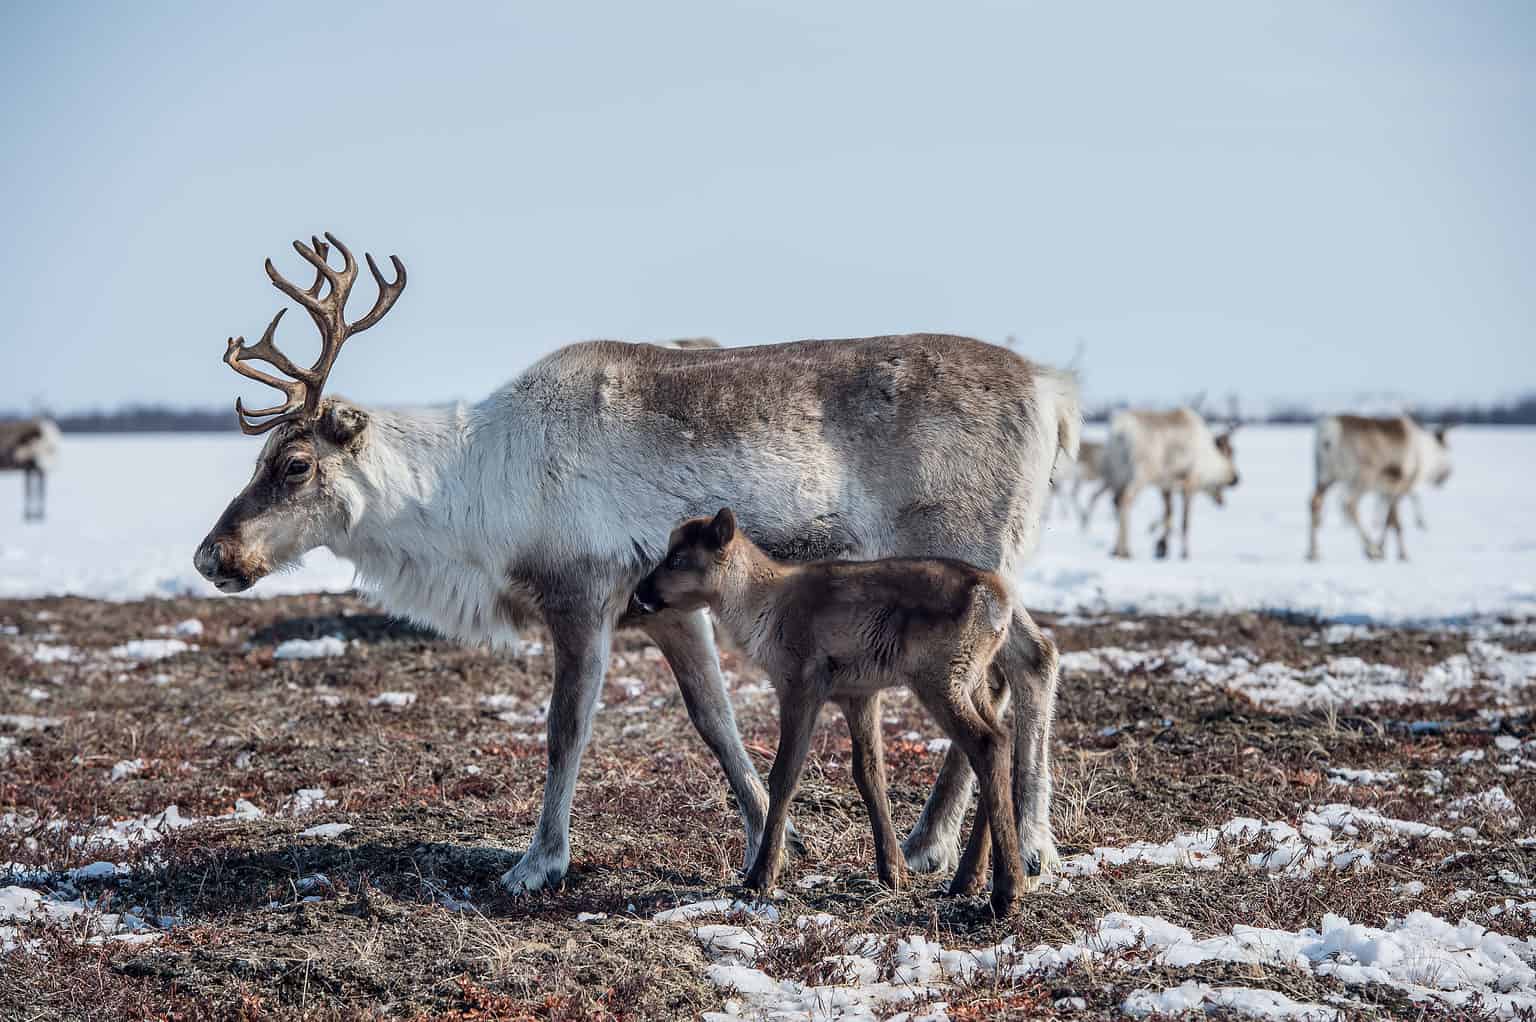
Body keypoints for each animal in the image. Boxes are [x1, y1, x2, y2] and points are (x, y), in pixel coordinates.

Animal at [194, 233, 1079, 895]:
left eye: (294, 464)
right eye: (261, 457)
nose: (212, 555)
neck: (476, 489)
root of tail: (1053, 391)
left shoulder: (580, 598)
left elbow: (566, 729)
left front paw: (537, 862)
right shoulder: (671, 613)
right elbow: (715, 722)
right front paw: (773, 841)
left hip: (975, 550)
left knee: (1026, 662)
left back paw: (999, 844)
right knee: (1027, 663)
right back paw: (971, 845)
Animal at [1100, 407, 1239, 559]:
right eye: (1230, 453)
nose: (1236, 479)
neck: (1208, 458)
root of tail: (1119, 431)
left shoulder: (1166, 485)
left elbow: (1169, 513)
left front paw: (1162, 547)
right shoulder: (1189, 482)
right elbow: (1184, 521)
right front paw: (1184, 553)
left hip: (1117, 474)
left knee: (1116, 501)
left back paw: (1115, 549)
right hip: (1141, 474)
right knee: (1125, 500)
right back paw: (1124, 551)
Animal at [1306, 414, 1452, 562]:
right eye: (1447, 452)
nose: (1448, 474)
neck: (1424, 455)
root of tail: (1329, 432)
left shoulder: (1386, 490)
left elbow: (1389, 521)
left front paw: (1384, 549)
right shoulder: (1399, 485)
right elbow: (1394, 522)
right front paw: (1400, 554)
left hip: (1325, 475)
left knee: (1315, 502)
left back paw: (1313, 553)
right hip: (1362, 477)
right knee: (1349, 504)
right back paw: (1371, 550)